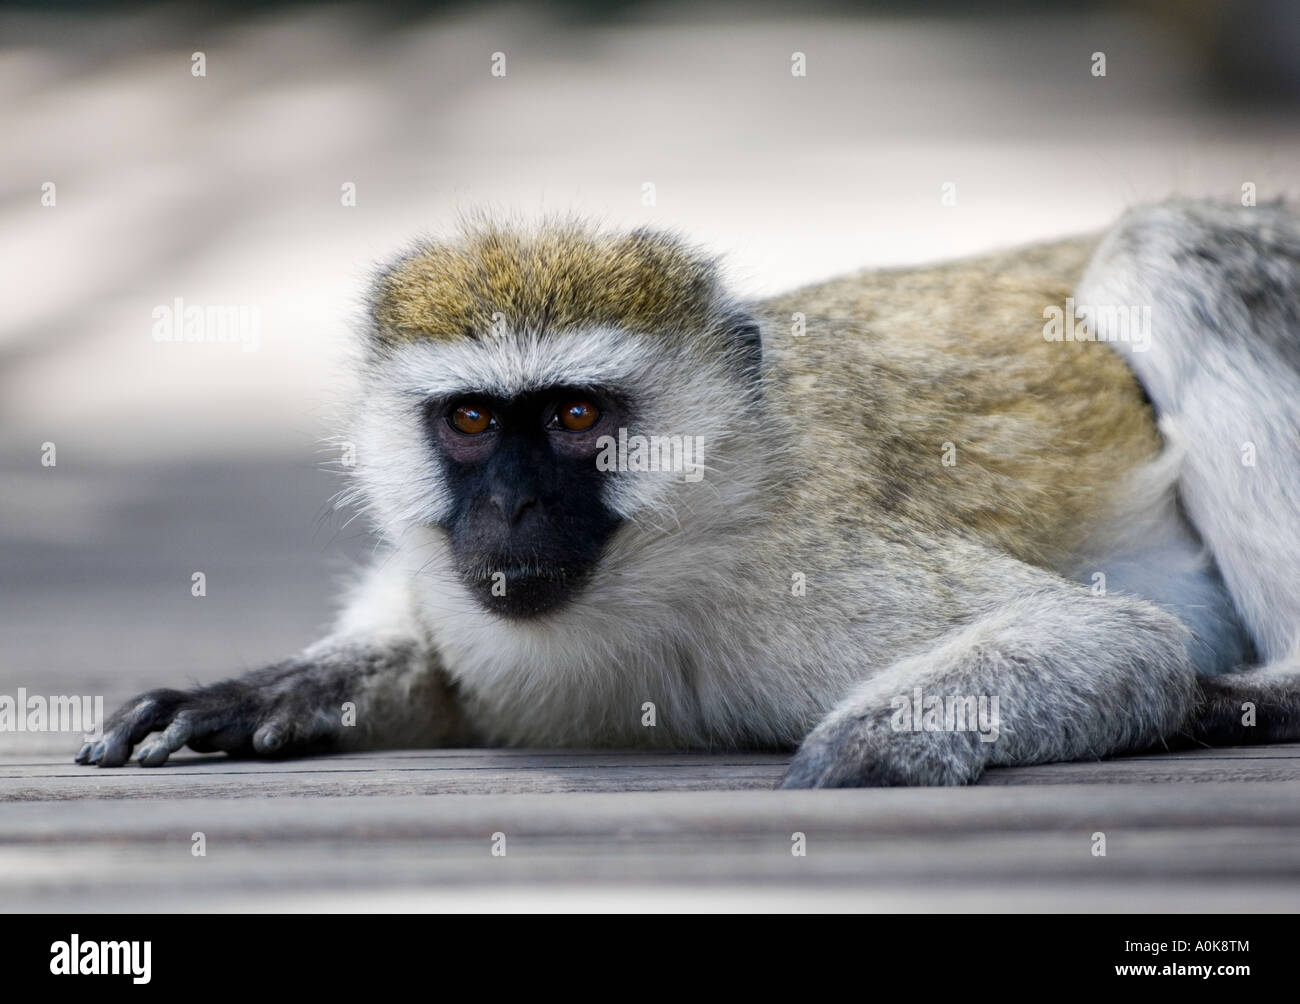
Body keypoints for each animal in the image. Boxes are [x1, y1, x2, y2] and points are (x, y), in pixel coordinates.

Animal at [76, 198, 1300, 787]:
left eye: (576, 417)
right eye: (470, 422)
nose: (510, 512)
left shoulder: (817, 570)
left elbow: (1121, 642)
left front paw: (875, 739)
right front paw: (262, 690)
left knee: (1170, 244)